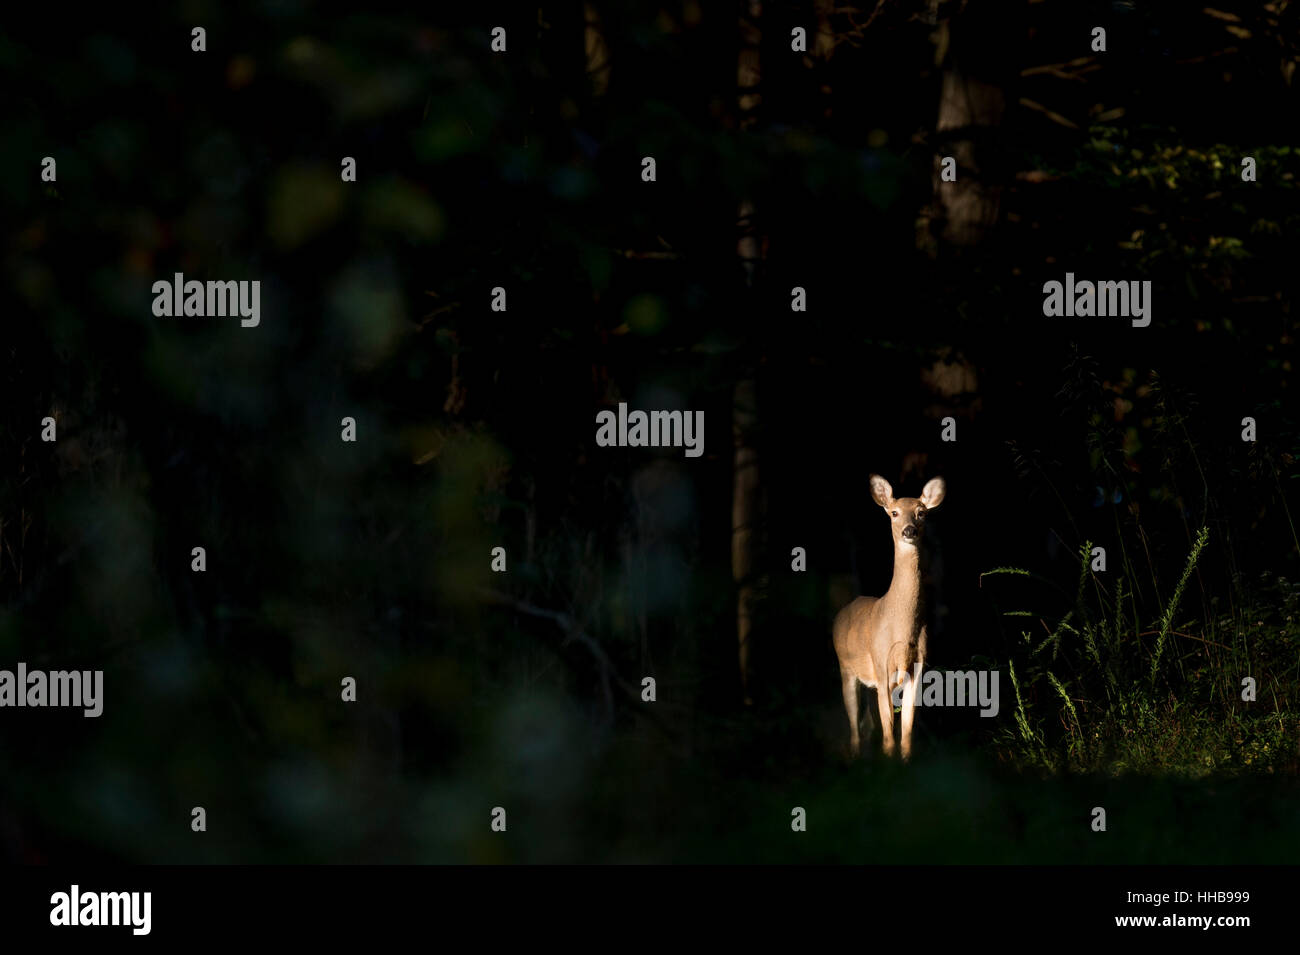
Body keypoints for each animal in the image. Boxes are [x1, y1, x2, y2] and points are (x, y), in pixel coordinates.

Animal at [833, 474, 946, 761]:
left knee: (869, 723)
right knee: (854, 726)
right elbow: (888, 731)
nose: (909, 530)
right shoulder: (881, 661)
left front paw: (904, 762)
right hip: (846, 667)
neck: (900, 626)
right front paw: (889, 762)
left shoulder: (917, 666)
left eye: (921, 512)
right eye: (894, 512)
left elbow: (905, 729)